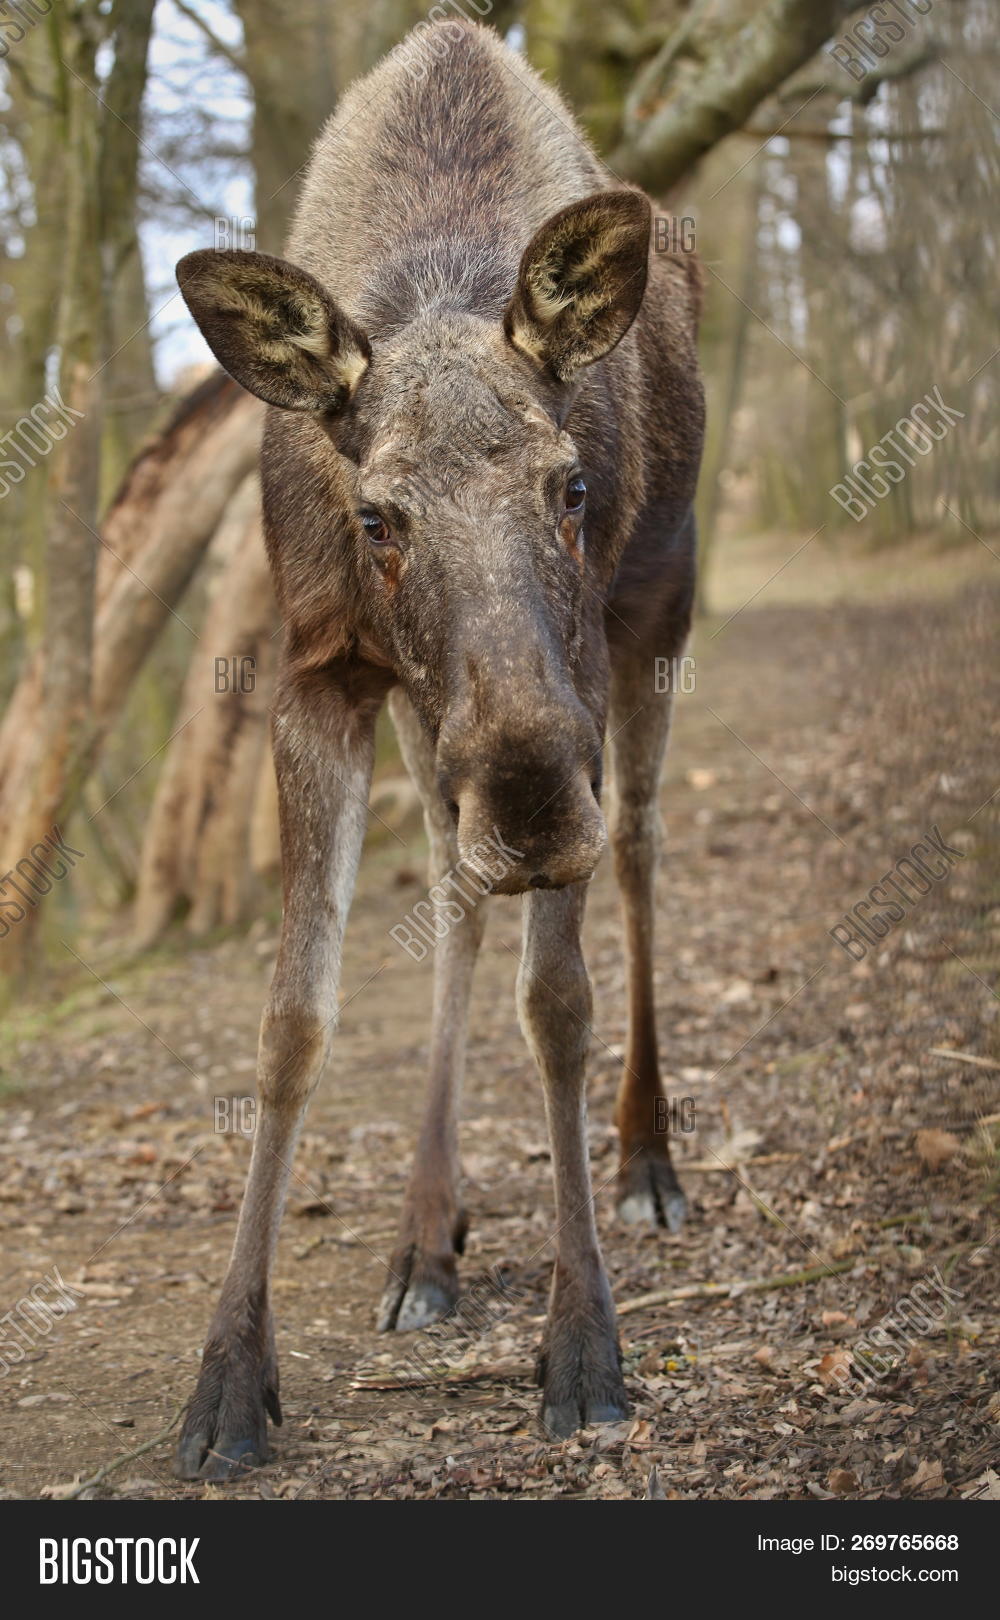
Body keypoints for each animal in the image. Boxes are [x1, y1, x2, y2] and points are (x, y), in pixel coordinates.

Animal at [173, 18, 703, 1480]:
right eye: (376, 517)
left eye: (570, 486)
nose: (531, 806)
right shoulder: (318, 671)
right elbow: (291, 1019)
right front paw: (228, 1377)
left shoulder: (578, 663)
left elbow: (559, 1004)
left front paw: (585, 1348)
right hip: (433, 721)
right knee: (463, 897)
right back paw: (426, 1233)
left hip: (656, 621)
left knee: (641, 848)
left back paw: (647, 1158)